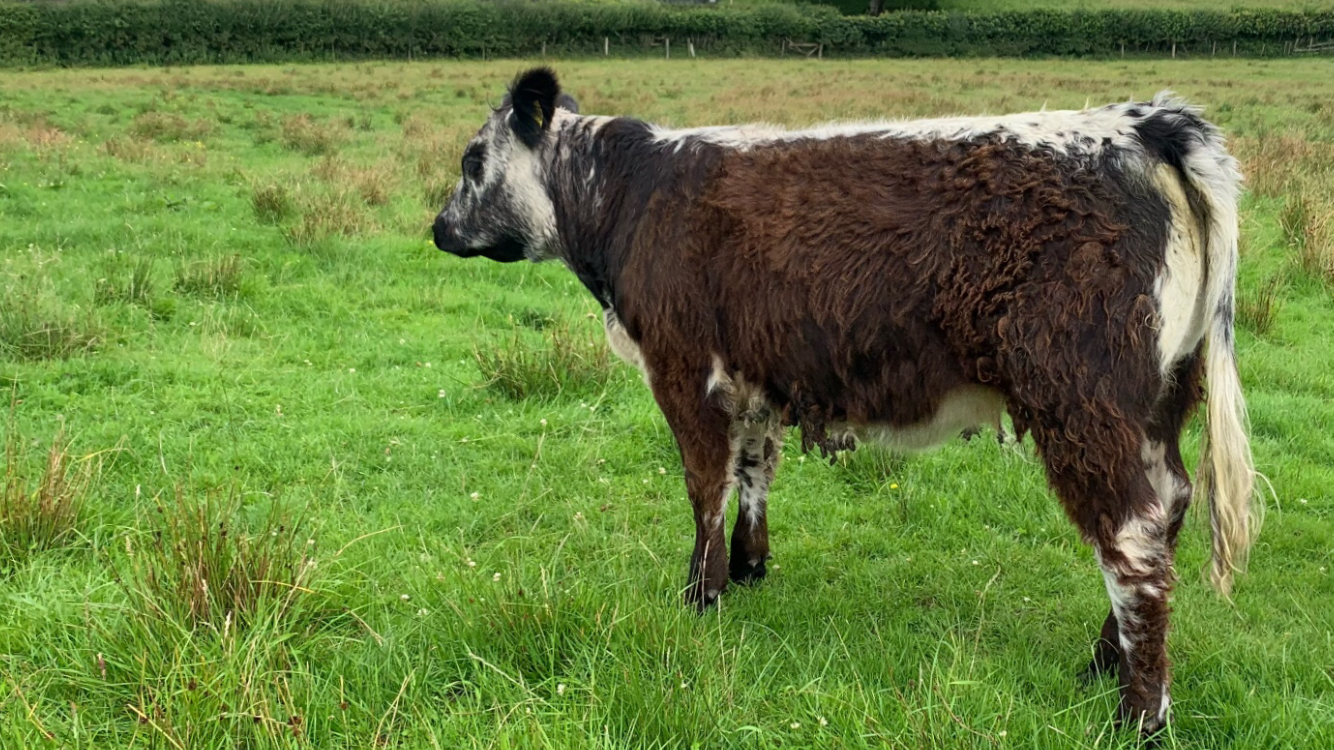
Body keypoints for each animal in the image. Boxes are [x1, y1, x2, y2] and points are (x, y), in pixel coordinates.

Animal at [432, 67, 1257, 734]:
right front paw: (749, 568)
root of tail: (1142, 123)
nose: (438, 227)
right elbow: (753, 472)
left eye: (473, 161)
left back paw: (1138, 710)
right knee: (1169, 505)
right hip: (1155, 403)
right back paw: (1105, 658)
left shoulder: (682, 369)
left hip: (1081, 401)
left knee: (1132, 536)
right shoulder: (756, 378)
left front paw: (700, 594)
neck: (628, 194)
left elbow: (704, 484)